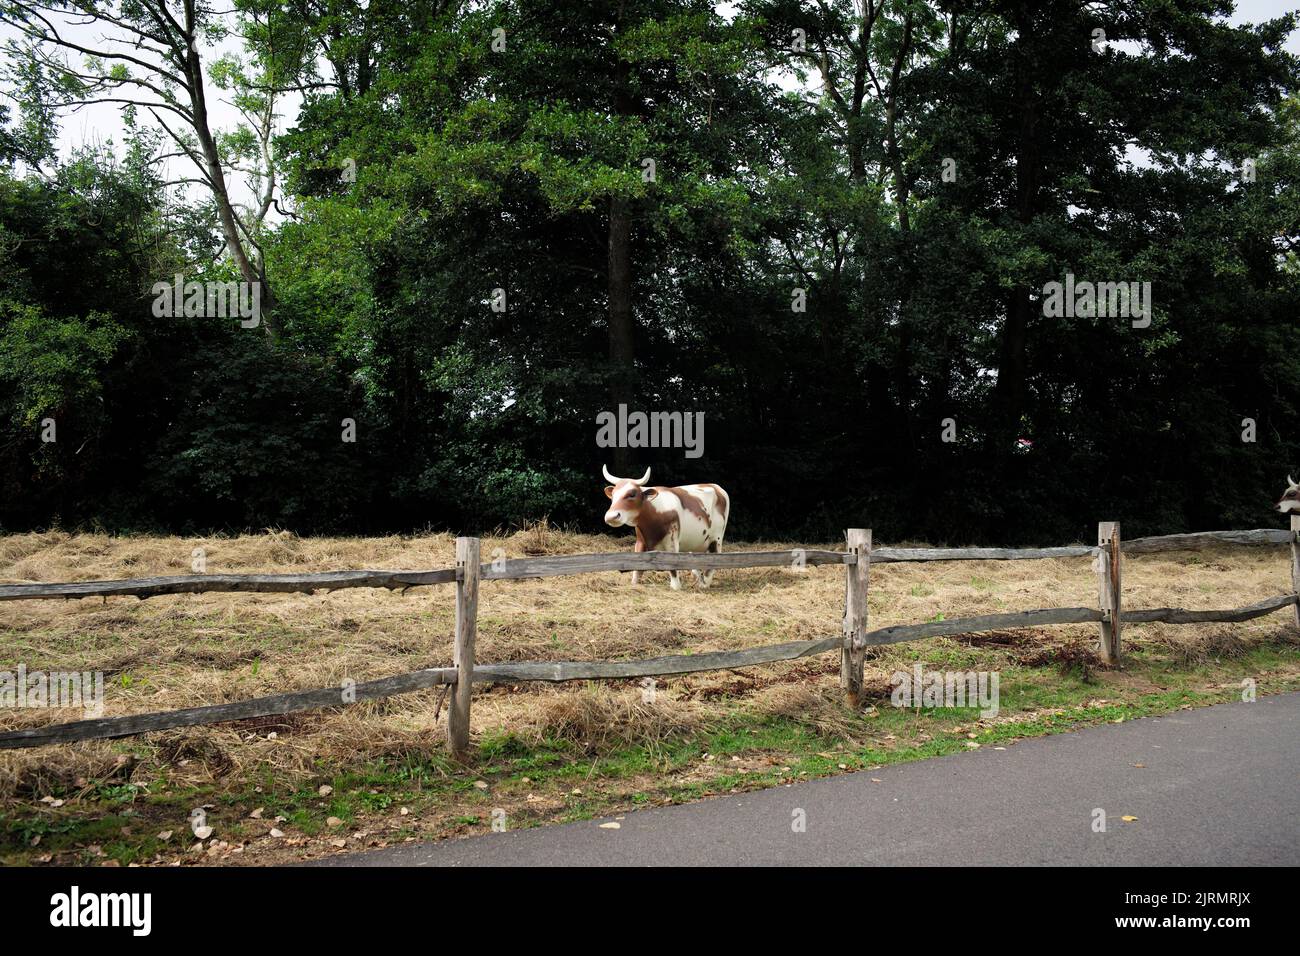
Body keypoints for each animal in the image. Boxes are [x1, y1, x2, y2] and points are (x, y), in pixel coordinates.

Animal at [601, 465, 730, 590]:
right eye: (613, 495)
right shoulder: (640, 541)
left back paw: (704, 584)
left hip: (717, 539)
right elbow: (637, 569)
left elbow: (672, 567)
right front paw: (634, 584)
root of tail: (716, 487)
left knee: (714, 561)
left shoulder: (672, 543)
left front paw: (676, 587)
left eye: (632, 494)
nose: (611, 516)